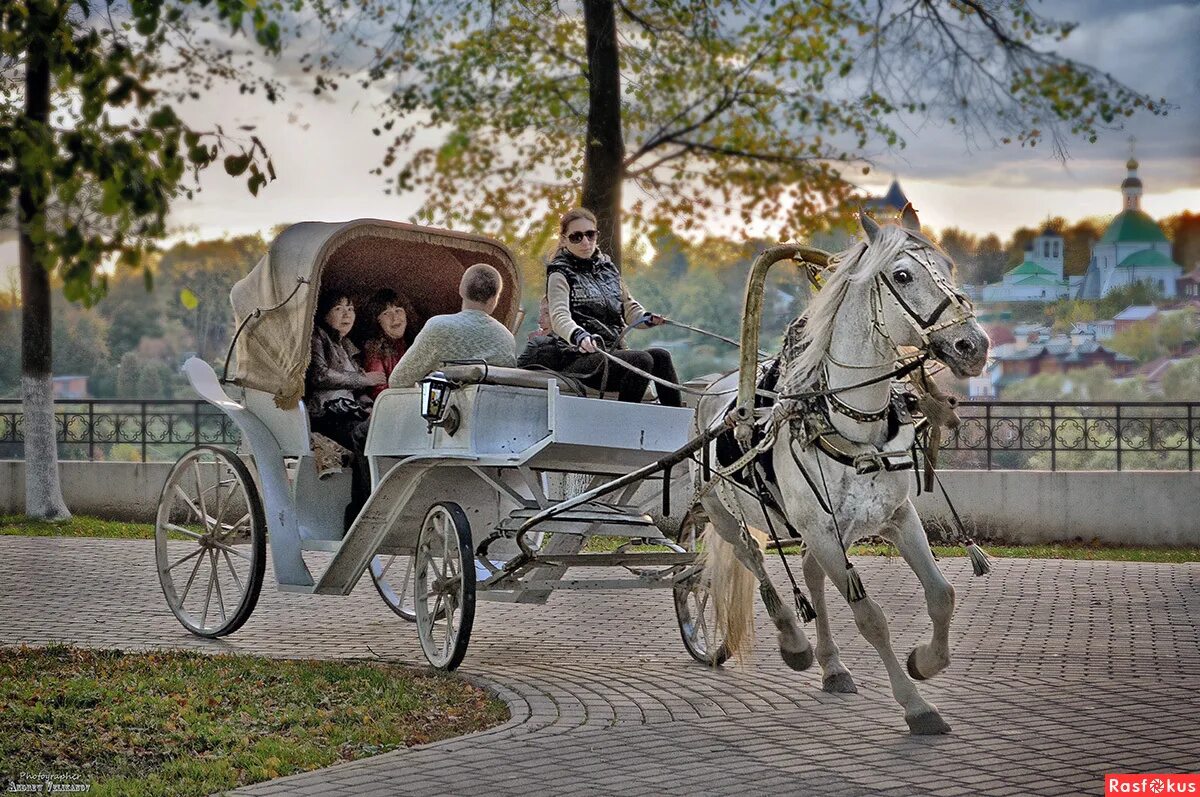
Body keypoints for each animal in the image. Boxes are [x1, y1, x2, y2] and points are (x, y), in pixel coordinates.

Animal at [700, 210, 988, 734]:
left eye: (948, 267)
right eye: (902, 275)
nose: (973, 345)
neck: (850, 425)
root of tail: (713, 390)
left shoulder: (897, 518)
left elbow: (943, 594)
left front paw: (925, 662)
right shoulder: (824, 531)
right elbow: (871, 618)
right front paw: (917, 706)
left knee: (809, 573)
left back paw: (832, 666)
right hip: (726, 517)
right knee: (755, 560)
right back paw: (794, 642)